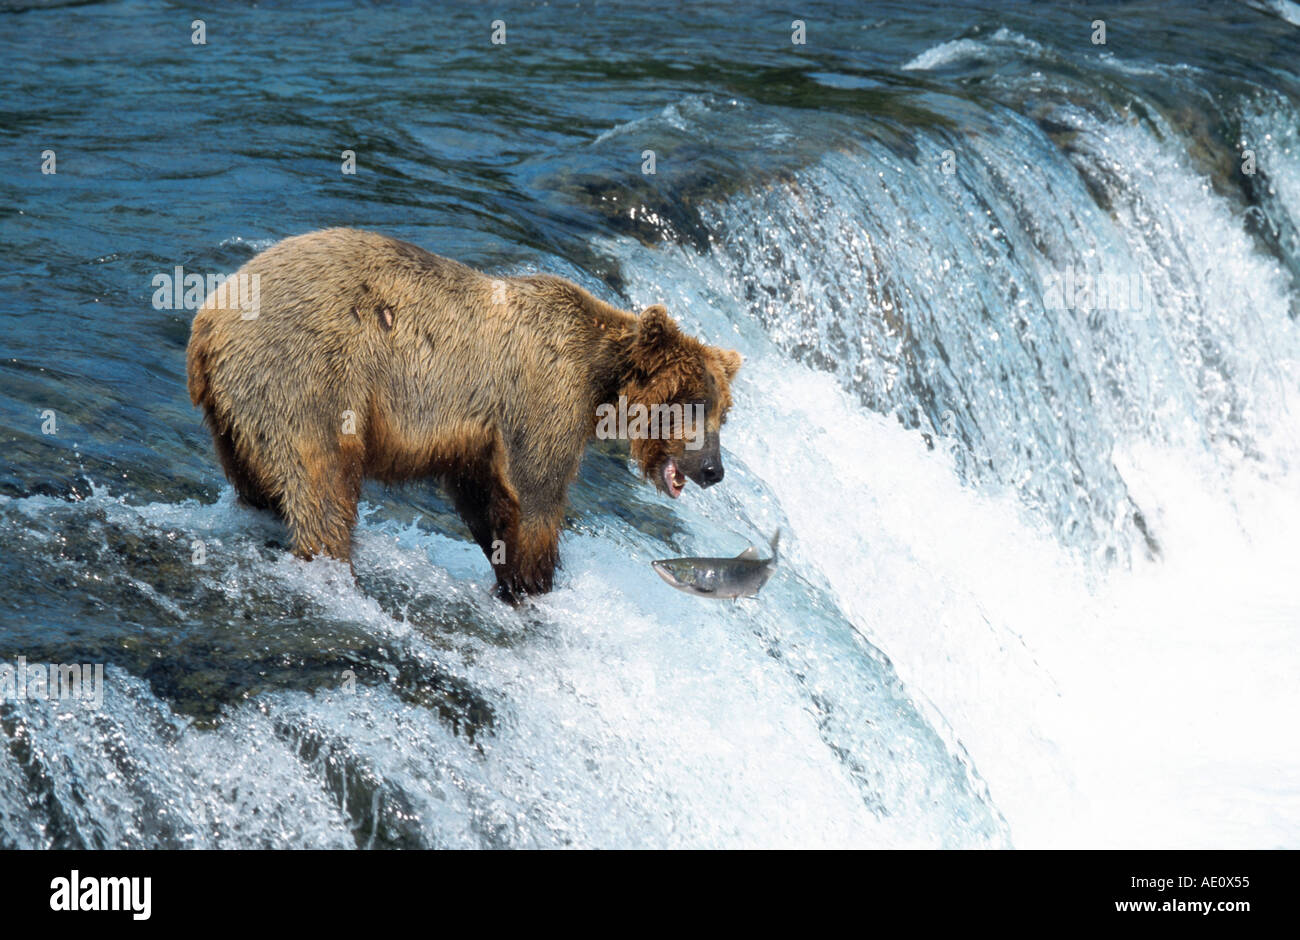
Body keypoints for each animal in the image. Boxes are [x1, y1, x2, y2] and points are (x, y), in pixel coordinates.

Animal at [185, 228, 742, 600]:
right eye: (693, 404)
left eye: (721, 413)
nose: (713, 469)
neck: (601, 378)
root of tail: (209, 316)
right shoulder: (544, 396)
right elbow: (536, 494)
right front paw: (534, 582)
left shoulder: (480, 438)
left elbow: (485, 497)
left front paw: (509, 572)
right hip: (307, 375)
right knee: (322, 480)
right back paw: (332, 563)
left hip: (234, 418)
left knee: (258, 482)